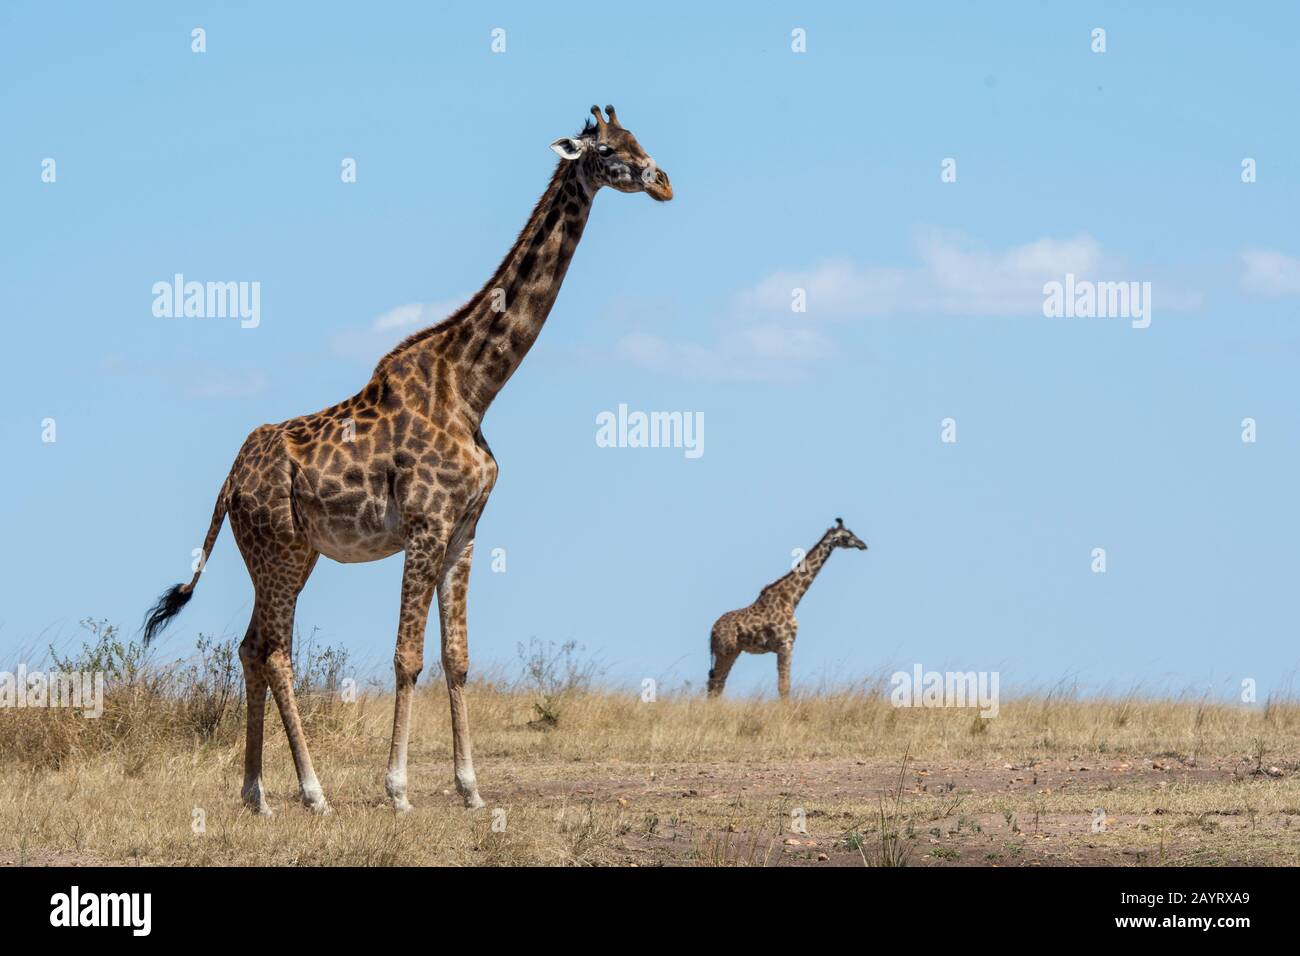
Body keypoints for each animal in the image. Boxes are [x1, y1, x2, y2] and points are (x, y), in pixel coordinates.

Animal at [142, 105, 672, 815]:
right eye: (611, 150)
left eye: (641, 140)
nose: (665, 182)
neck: (472, 387)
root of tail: (228, 482)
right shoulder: (425, 524)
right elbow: (406, 657)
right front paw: (397, 791)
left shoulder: (465, 530)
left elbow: (458, 658)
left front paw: (471, 790)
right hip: (279, 550)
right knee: (276, 651)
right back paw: (313, 792)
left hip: (288, 554)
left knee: (252, 646)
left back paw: (257, 793)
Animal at [707, 519, 867, 699]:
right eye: (847, 536)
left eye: (852, 532)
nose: (863, 544)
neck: (791, 599)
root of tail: (711, 632)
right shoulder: (786, 644)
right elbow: (784, 687)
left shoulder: (785, 646)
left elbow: (784, 686)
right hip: (725, 651)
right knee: (715, 683)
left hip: (733, 651)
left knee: (717, 684)